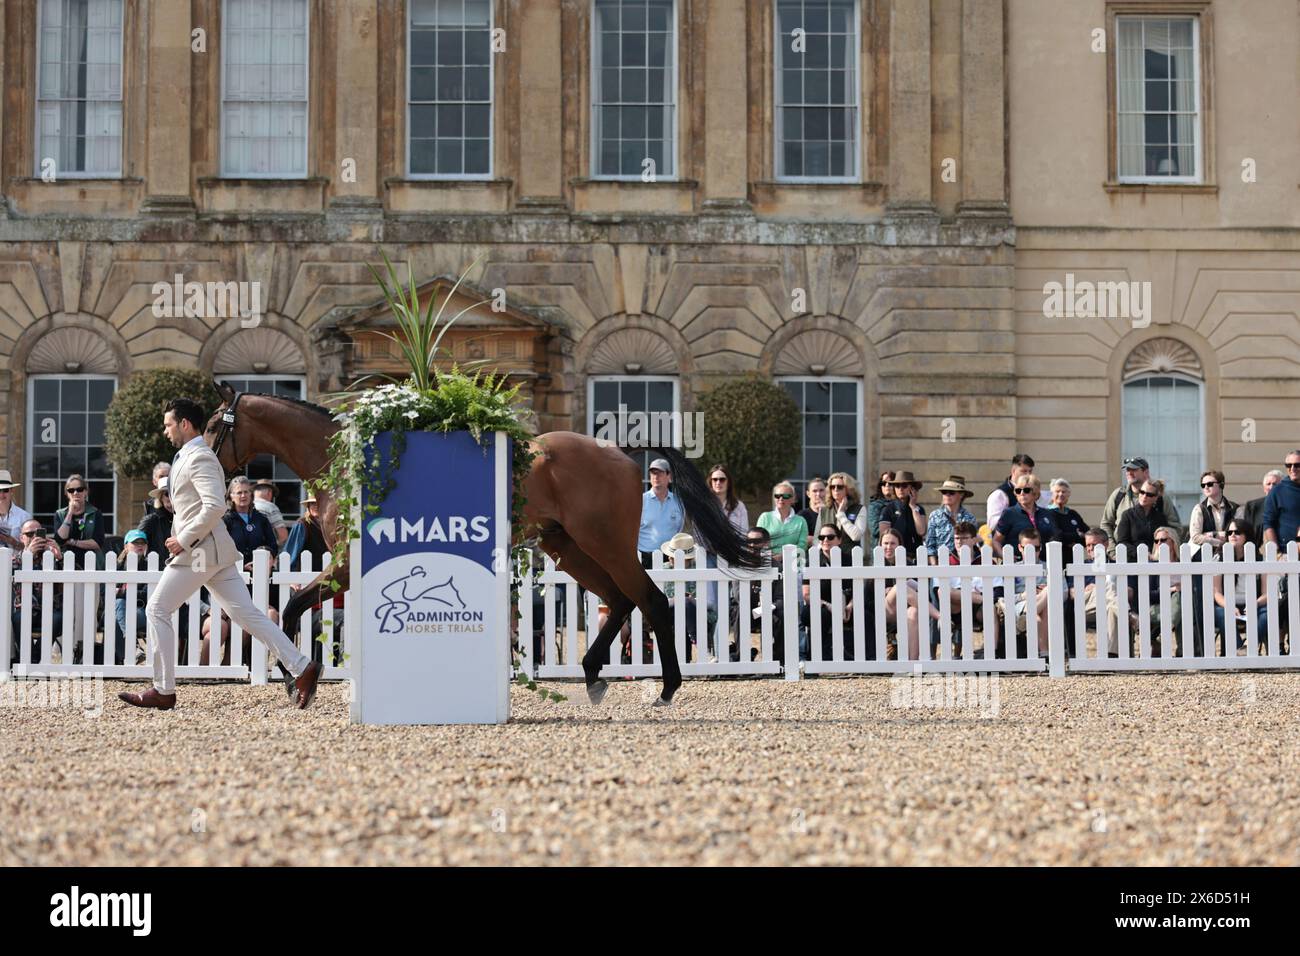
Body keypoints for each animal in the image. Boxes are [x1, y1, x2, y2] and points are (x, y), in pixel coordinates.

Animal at [203, 379, 764, 705]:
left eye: (212, 426)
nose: (198, 463)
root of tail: (620, 451)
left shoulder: (342, 567)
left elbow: (292, 606)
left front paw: (300, 681)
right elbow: (298, 609)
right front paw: (302, 678)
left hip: (603, 544)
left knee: (648, 600)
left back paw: (666, 689)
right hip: (570, 548)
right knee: (621, 601)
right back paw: (592, 674)